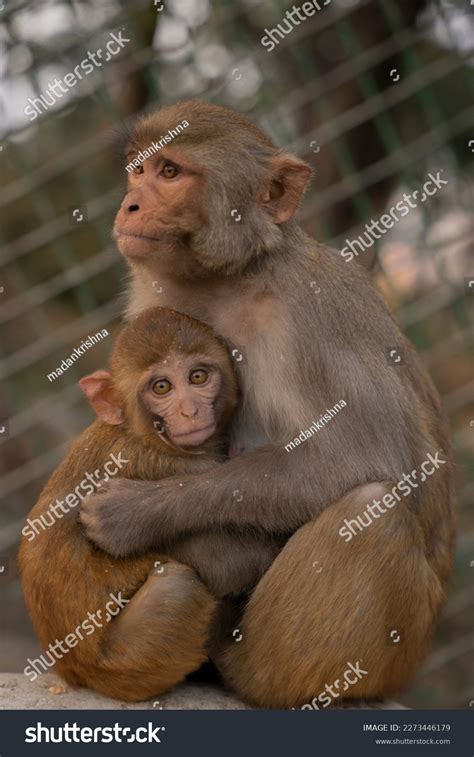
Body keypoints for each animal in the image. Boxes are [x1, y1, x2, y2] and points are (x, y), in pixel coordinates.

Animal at [19, 306, 281, 702]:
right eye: (162, 387)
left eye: (198, 376)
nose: (189, 411)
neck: (138, 433)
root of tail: (76, 673)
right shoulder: (170, 467)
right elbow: (230, 566)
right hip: (133, 661)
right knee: (179, 585)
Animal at [80, 100, 456, 709]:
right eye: (138, 170)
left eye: (170, 172)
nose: (130, 204)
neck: (227, 281)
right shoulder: (150, 302)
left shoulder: (310, 314)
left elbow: (366, 460)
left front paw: (139, 514)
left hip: (383, 653)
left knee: (372, 512)